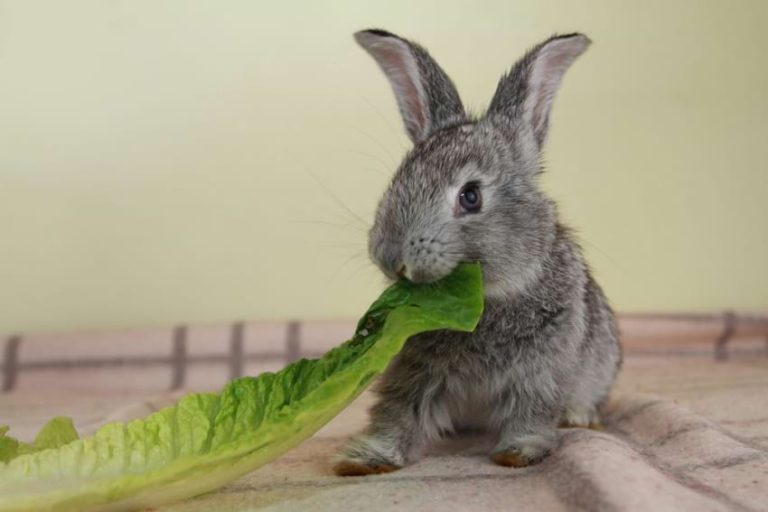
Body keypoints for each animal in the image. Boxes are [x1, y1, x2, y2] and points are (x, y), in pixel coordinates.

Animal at [333, 29, 622, 476]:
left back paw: (580, 417)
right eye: (397, 182)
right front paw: (365, 459)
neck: (485, 301)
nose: (390, 258)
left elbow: (531, 411)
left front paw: (518, 453)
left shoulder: (541, 369)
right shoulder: (413, 368)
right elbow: (398, 411)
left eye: (470, 196)